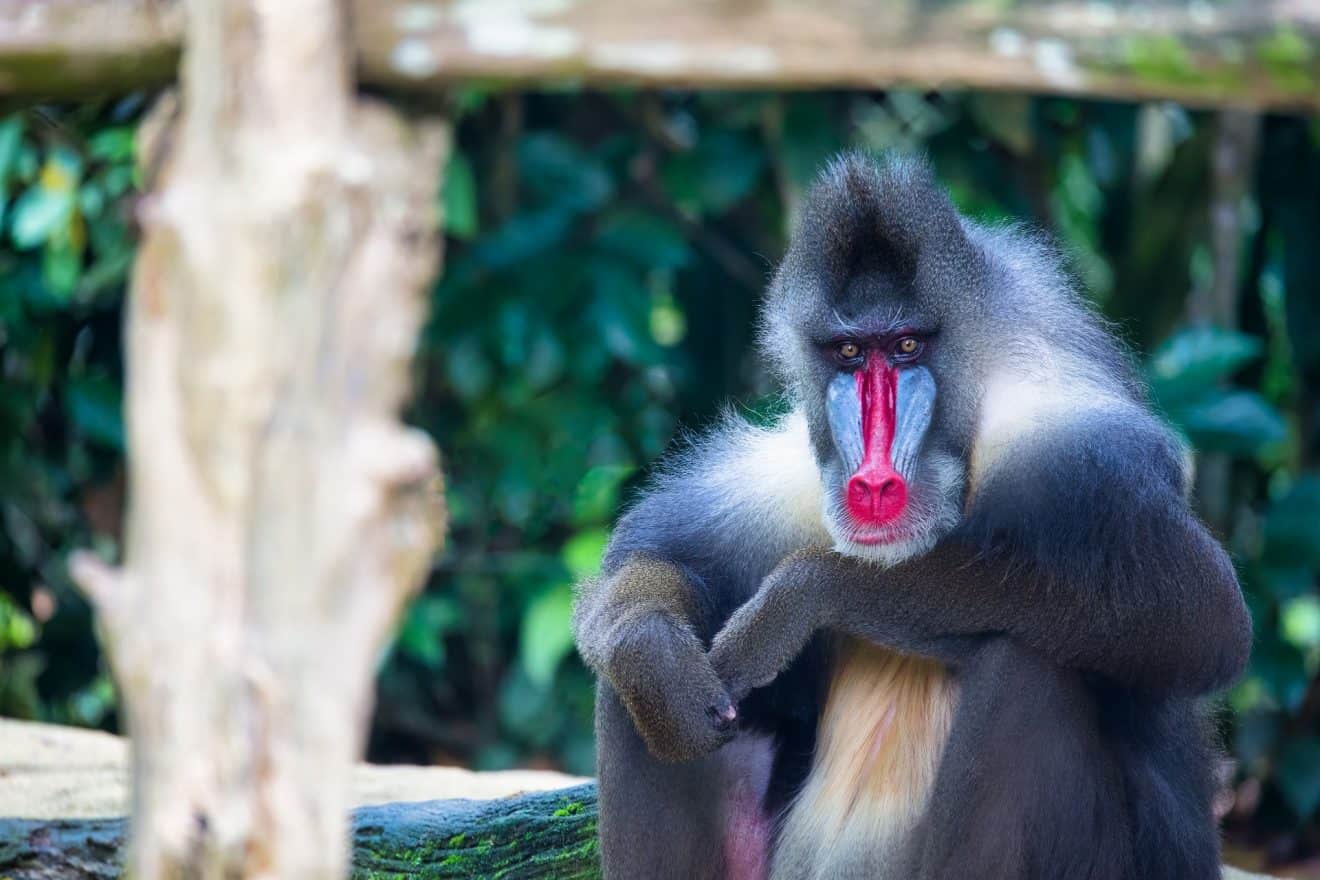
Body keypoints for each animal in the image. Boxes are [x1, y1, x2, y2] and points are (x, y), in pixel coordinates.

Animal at [572, 153, 1252, 880]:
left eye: (905, 347)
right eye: (848, 354)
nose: (872, 485)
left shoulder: (1082, 459)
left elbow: (1194, 617)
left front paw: (800, 596)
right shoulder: (782, 487)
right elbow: (654, 557)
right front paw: (650, 651)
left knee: (1028, 664)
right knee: (632, 695)